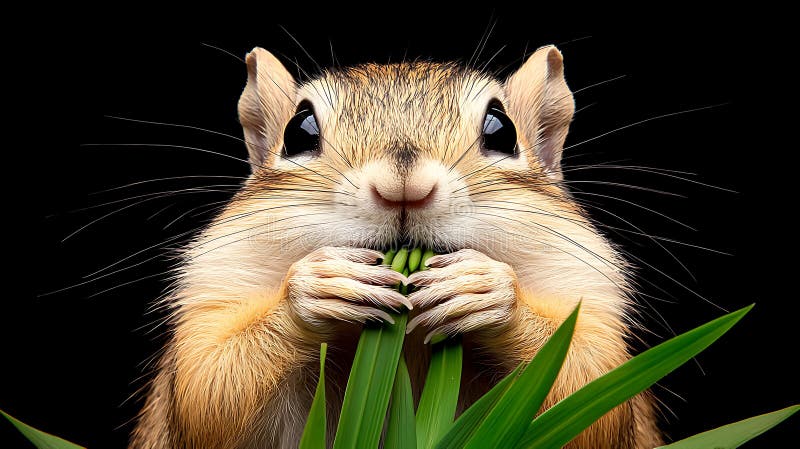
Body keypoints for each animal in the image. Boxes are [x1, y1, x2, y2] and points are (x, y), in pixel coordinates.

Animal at [129, 45, 662, 449]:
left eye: (502, 129)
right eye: (298, 131)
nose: (403, 190)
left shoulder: (586, 300)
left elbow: (587, 384)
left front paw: (484, 289)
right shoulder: (214, 296)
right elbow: (211, 394)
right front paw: (317, 288)